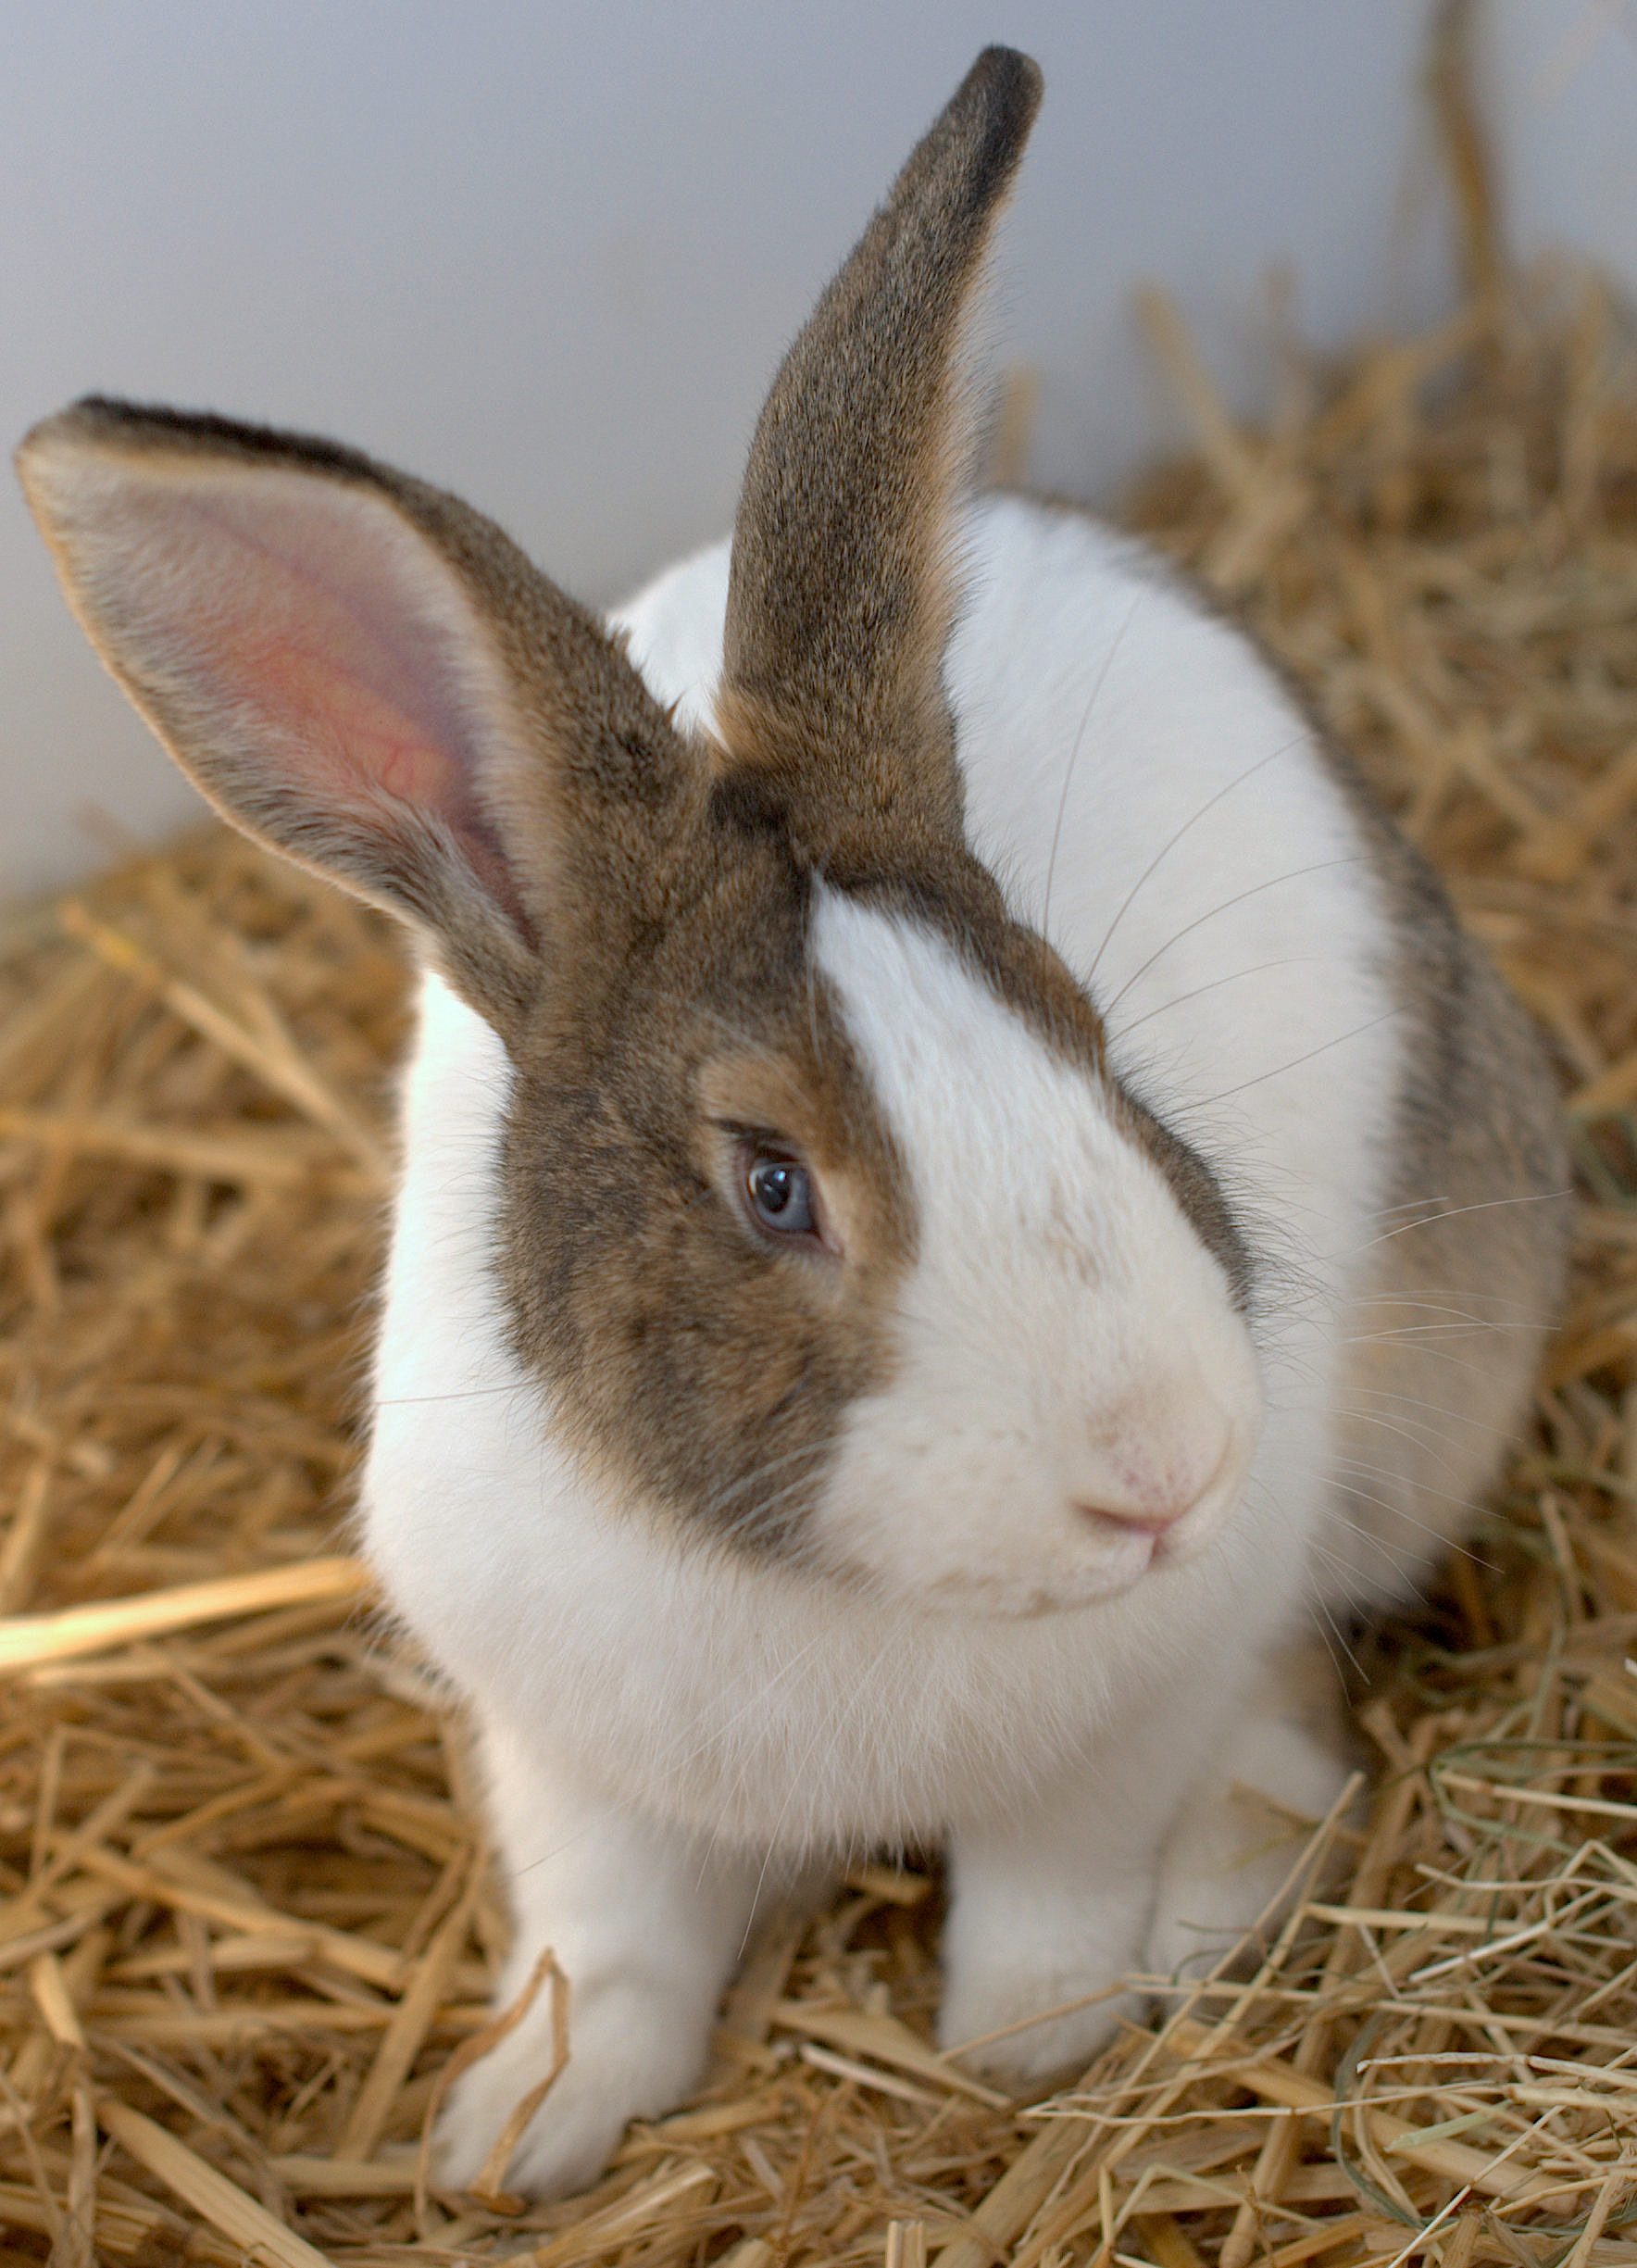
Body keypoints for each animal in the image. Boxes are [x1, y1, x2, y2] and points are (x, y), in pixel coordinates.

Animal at [17, 45, 1569, 2203]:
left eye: (1090, 1042)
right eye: (770, 1185)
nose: (1162, 1470)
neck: (819, 1592)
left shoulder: (1130, 1704)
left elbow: (1052, 1875)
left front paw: (1026, 2042)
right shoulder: (569, 1763)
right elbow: (613, 1941)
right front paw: (515, 2130)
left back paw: (1222, 1888)